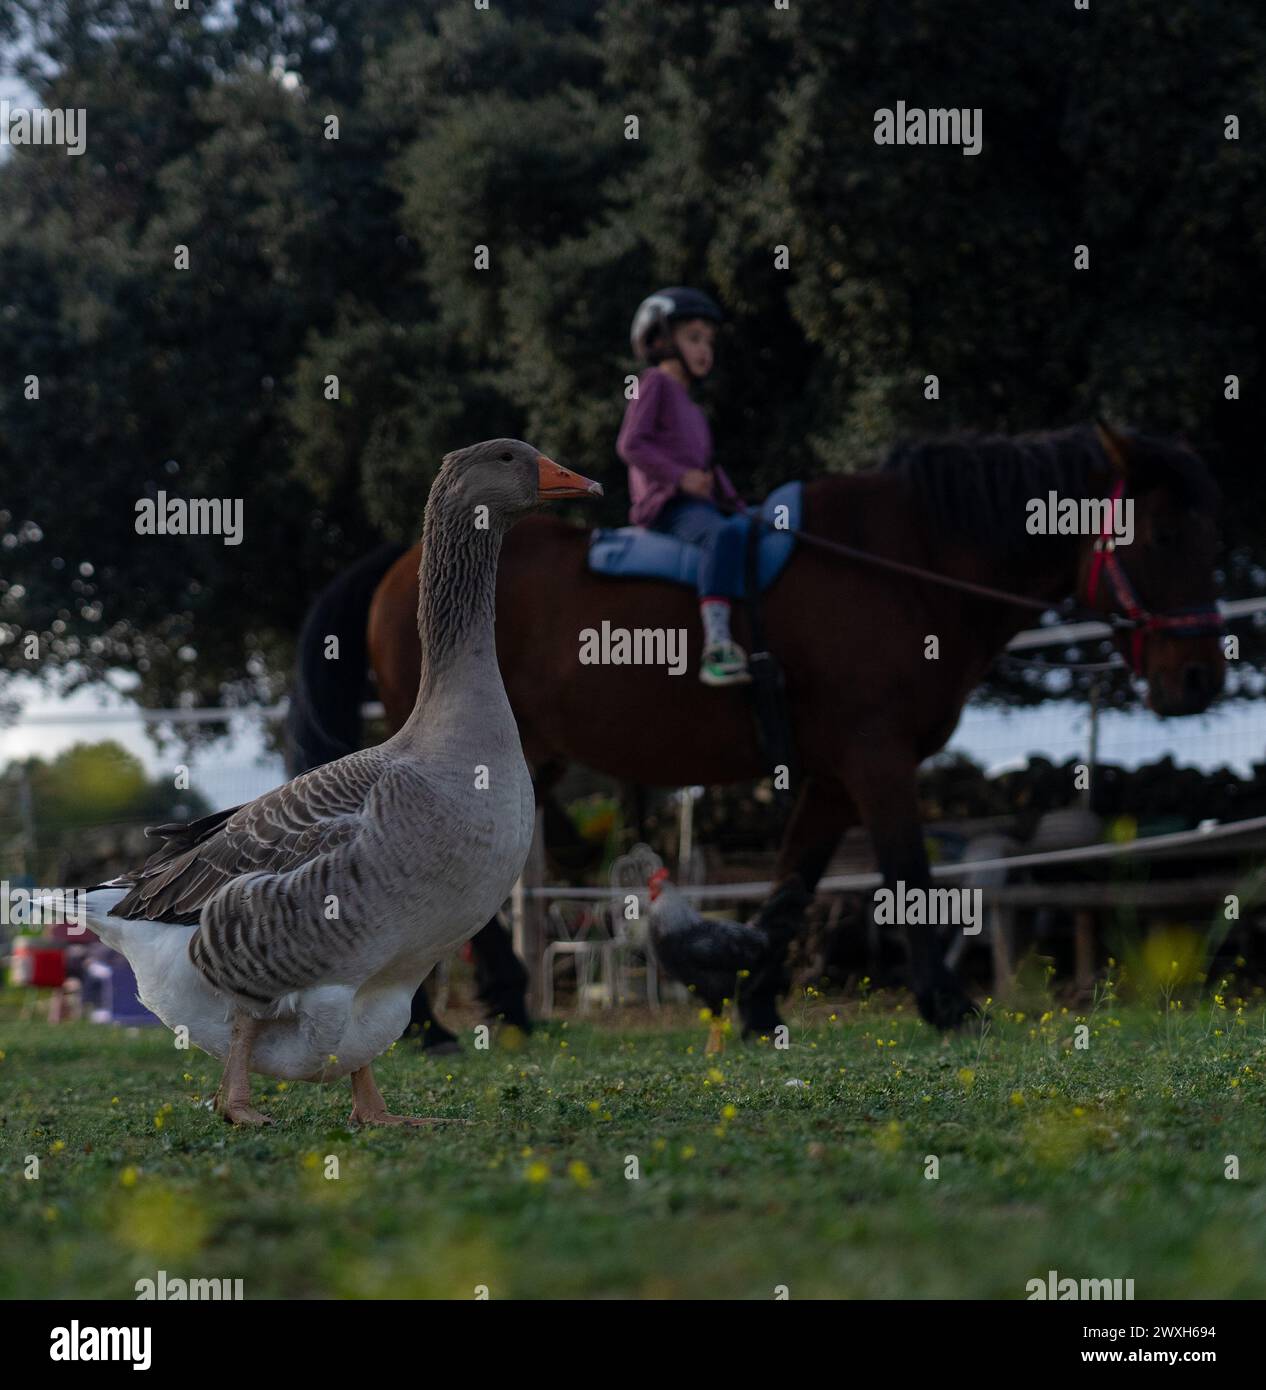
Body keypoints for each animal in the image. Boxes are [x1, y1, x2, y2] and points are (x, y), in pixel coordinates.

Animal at [287, 423, 1224, 1033]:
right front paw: (948, 1005)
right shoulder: (877, 756)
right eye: (1164, 532)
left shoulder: (837, 773)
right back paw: (445, 1022)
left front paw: (755, 997)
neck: (904, 562)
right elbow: (908, 872)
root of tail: (399, 559)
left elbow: (791, 887)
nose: (1201, 679)